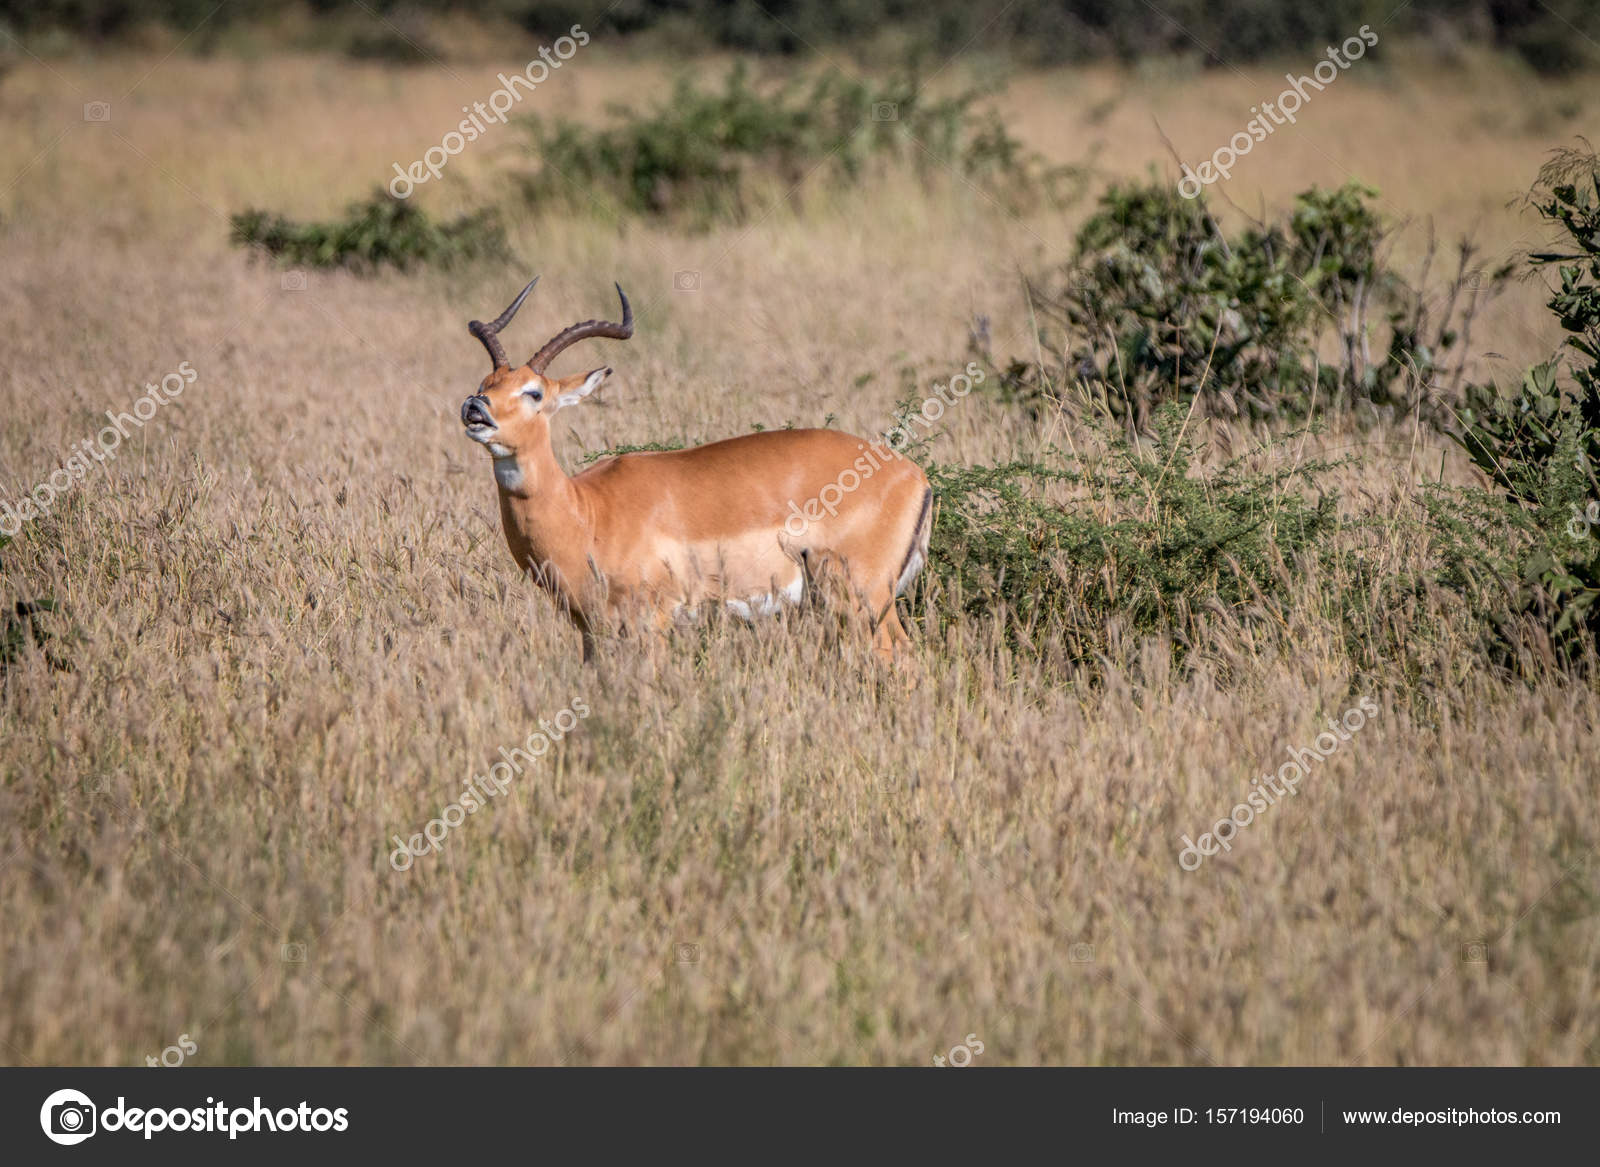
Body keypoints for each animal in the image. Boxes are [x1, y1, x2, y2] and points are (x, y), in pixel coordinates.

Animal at [458, 277, 932, 662]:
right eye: (485, 383)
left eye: (534, 392)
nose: (475, 408)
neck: (586, 510)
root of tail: (915, 477)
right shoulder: (590, 630)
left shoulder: (652, 624)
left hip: (863, 598)